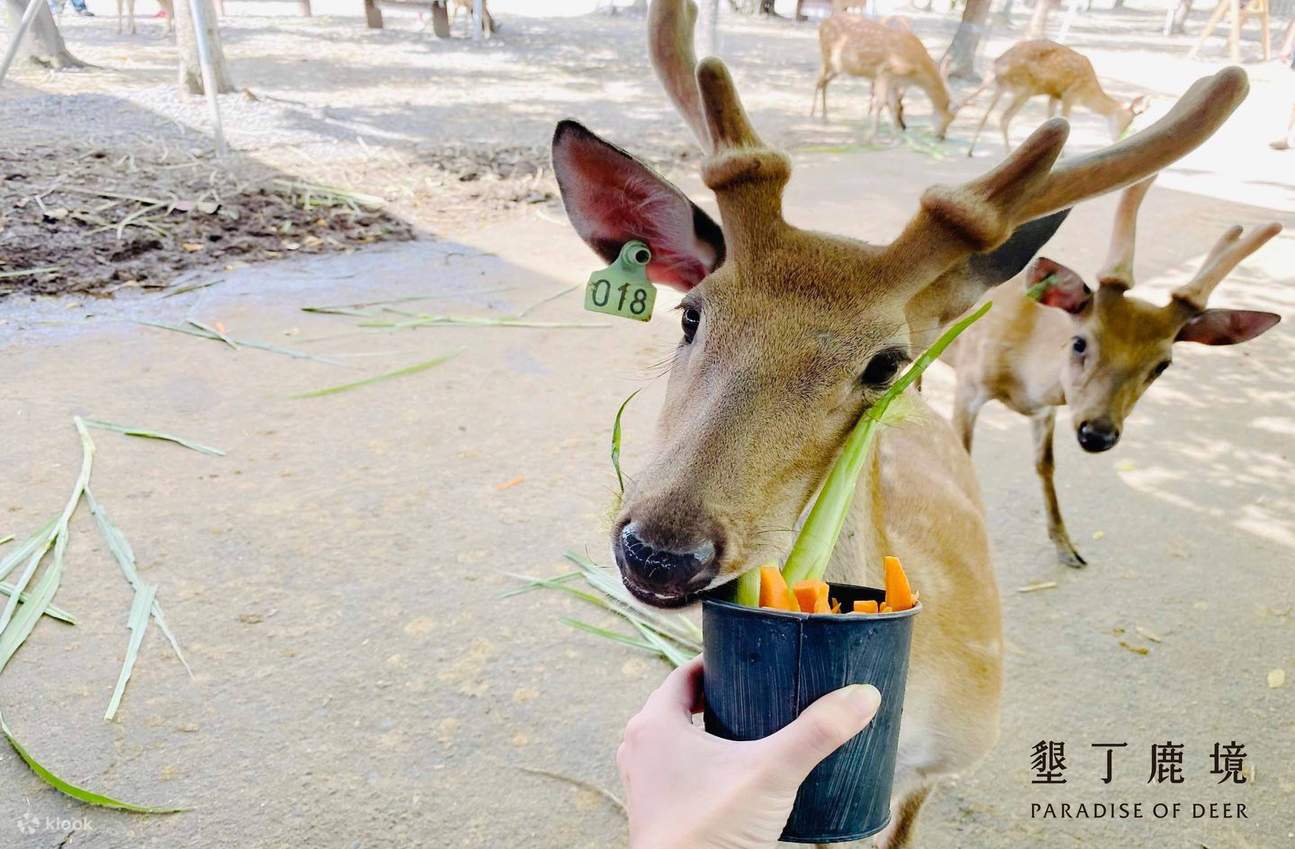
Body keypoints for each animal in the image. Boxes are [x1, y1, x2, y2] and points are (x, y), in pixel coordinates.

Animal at [812, 14, 957, 142]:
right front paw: (870, 136)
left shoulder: (894, 81)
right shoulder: (885, 72)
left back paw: (824, 116)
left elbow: (893, 105)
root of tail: (822, 24)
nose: (942, 136)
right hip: (826, 58)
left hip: (838, 67)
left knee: (823, 82)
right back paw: (813, 115)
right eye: (949, 118)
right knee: (818, 81)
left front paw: (894, 137)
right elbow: (880, 102)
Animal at [945, 177, 1281, 567]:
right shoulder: (969, 382)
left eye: (1162, 365)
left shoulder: (1046, 410)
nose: (1098, 434)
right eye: (1079, 343)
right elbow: (963, 461)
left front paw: (1067, 546)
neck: (1023, 378)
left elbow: (1045, 465)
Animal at [965, 40, 1150, 157]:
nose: (1118, 138)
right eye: (1129, 120)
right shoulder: (1069, 95)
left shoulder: (1054, 95)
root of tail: (997, 63)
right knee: (1003, 117)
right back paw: (1008, 153)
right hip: (1025, 88)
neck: (1087, 94)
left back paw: (971, 150)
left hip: (1000, 86)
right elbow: (1066, 120)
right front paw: (1063, 154)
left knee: (983, 112)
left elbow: (1051, 119)